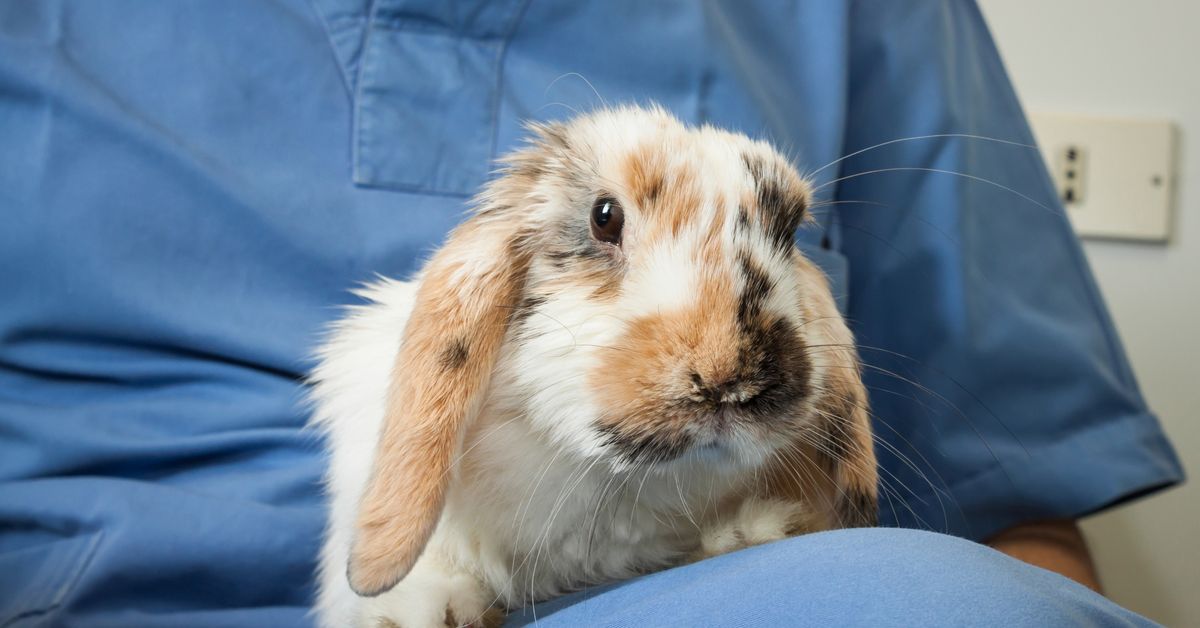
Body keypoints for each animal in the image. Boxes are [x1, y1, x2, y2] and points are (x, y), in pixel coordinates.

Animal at [308, 105, 878, 628]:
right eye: (604, 216)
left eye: (789, 231)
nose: (730, 379)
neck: (611, 483)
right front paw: (428, 611)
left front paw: (757, 530)